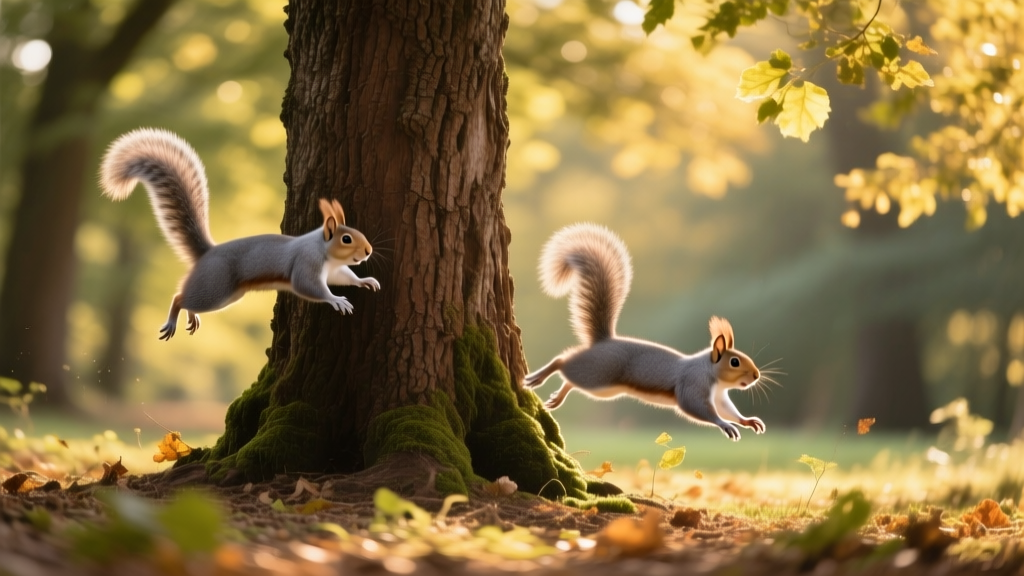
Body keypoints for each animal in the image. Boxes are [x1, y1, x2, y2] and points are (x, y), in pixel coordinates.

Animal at [99, 128, 380, 340]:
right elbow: (309, 287)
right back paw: (173, 319)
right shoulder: (306, 263)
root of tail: (207, 253)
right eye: (346, 239)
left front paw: (365, 281)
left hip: (227, 295)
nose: (368, 251)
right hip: (215, 287)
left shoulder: (333, 270)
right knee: (180, 296)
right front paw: (336, 300)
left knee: (189, 300)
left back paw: (191, 316)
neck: (325, 251)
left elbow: (345, 276)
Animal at [522, 223, 765, 441]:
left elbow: (728, 409)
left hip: (603, 389)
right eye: (734, 361)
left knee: (571, 378)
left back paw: (557, 398)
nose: (756, 376)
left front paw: (747, 421)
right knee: (562, 361)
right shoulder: (693, 384)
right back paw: (538, 377)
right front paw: (725, 424)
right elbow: (696, 408)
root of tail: (603, 340)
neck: (713, 376)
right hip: (597, 373)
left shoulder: (720, 397)